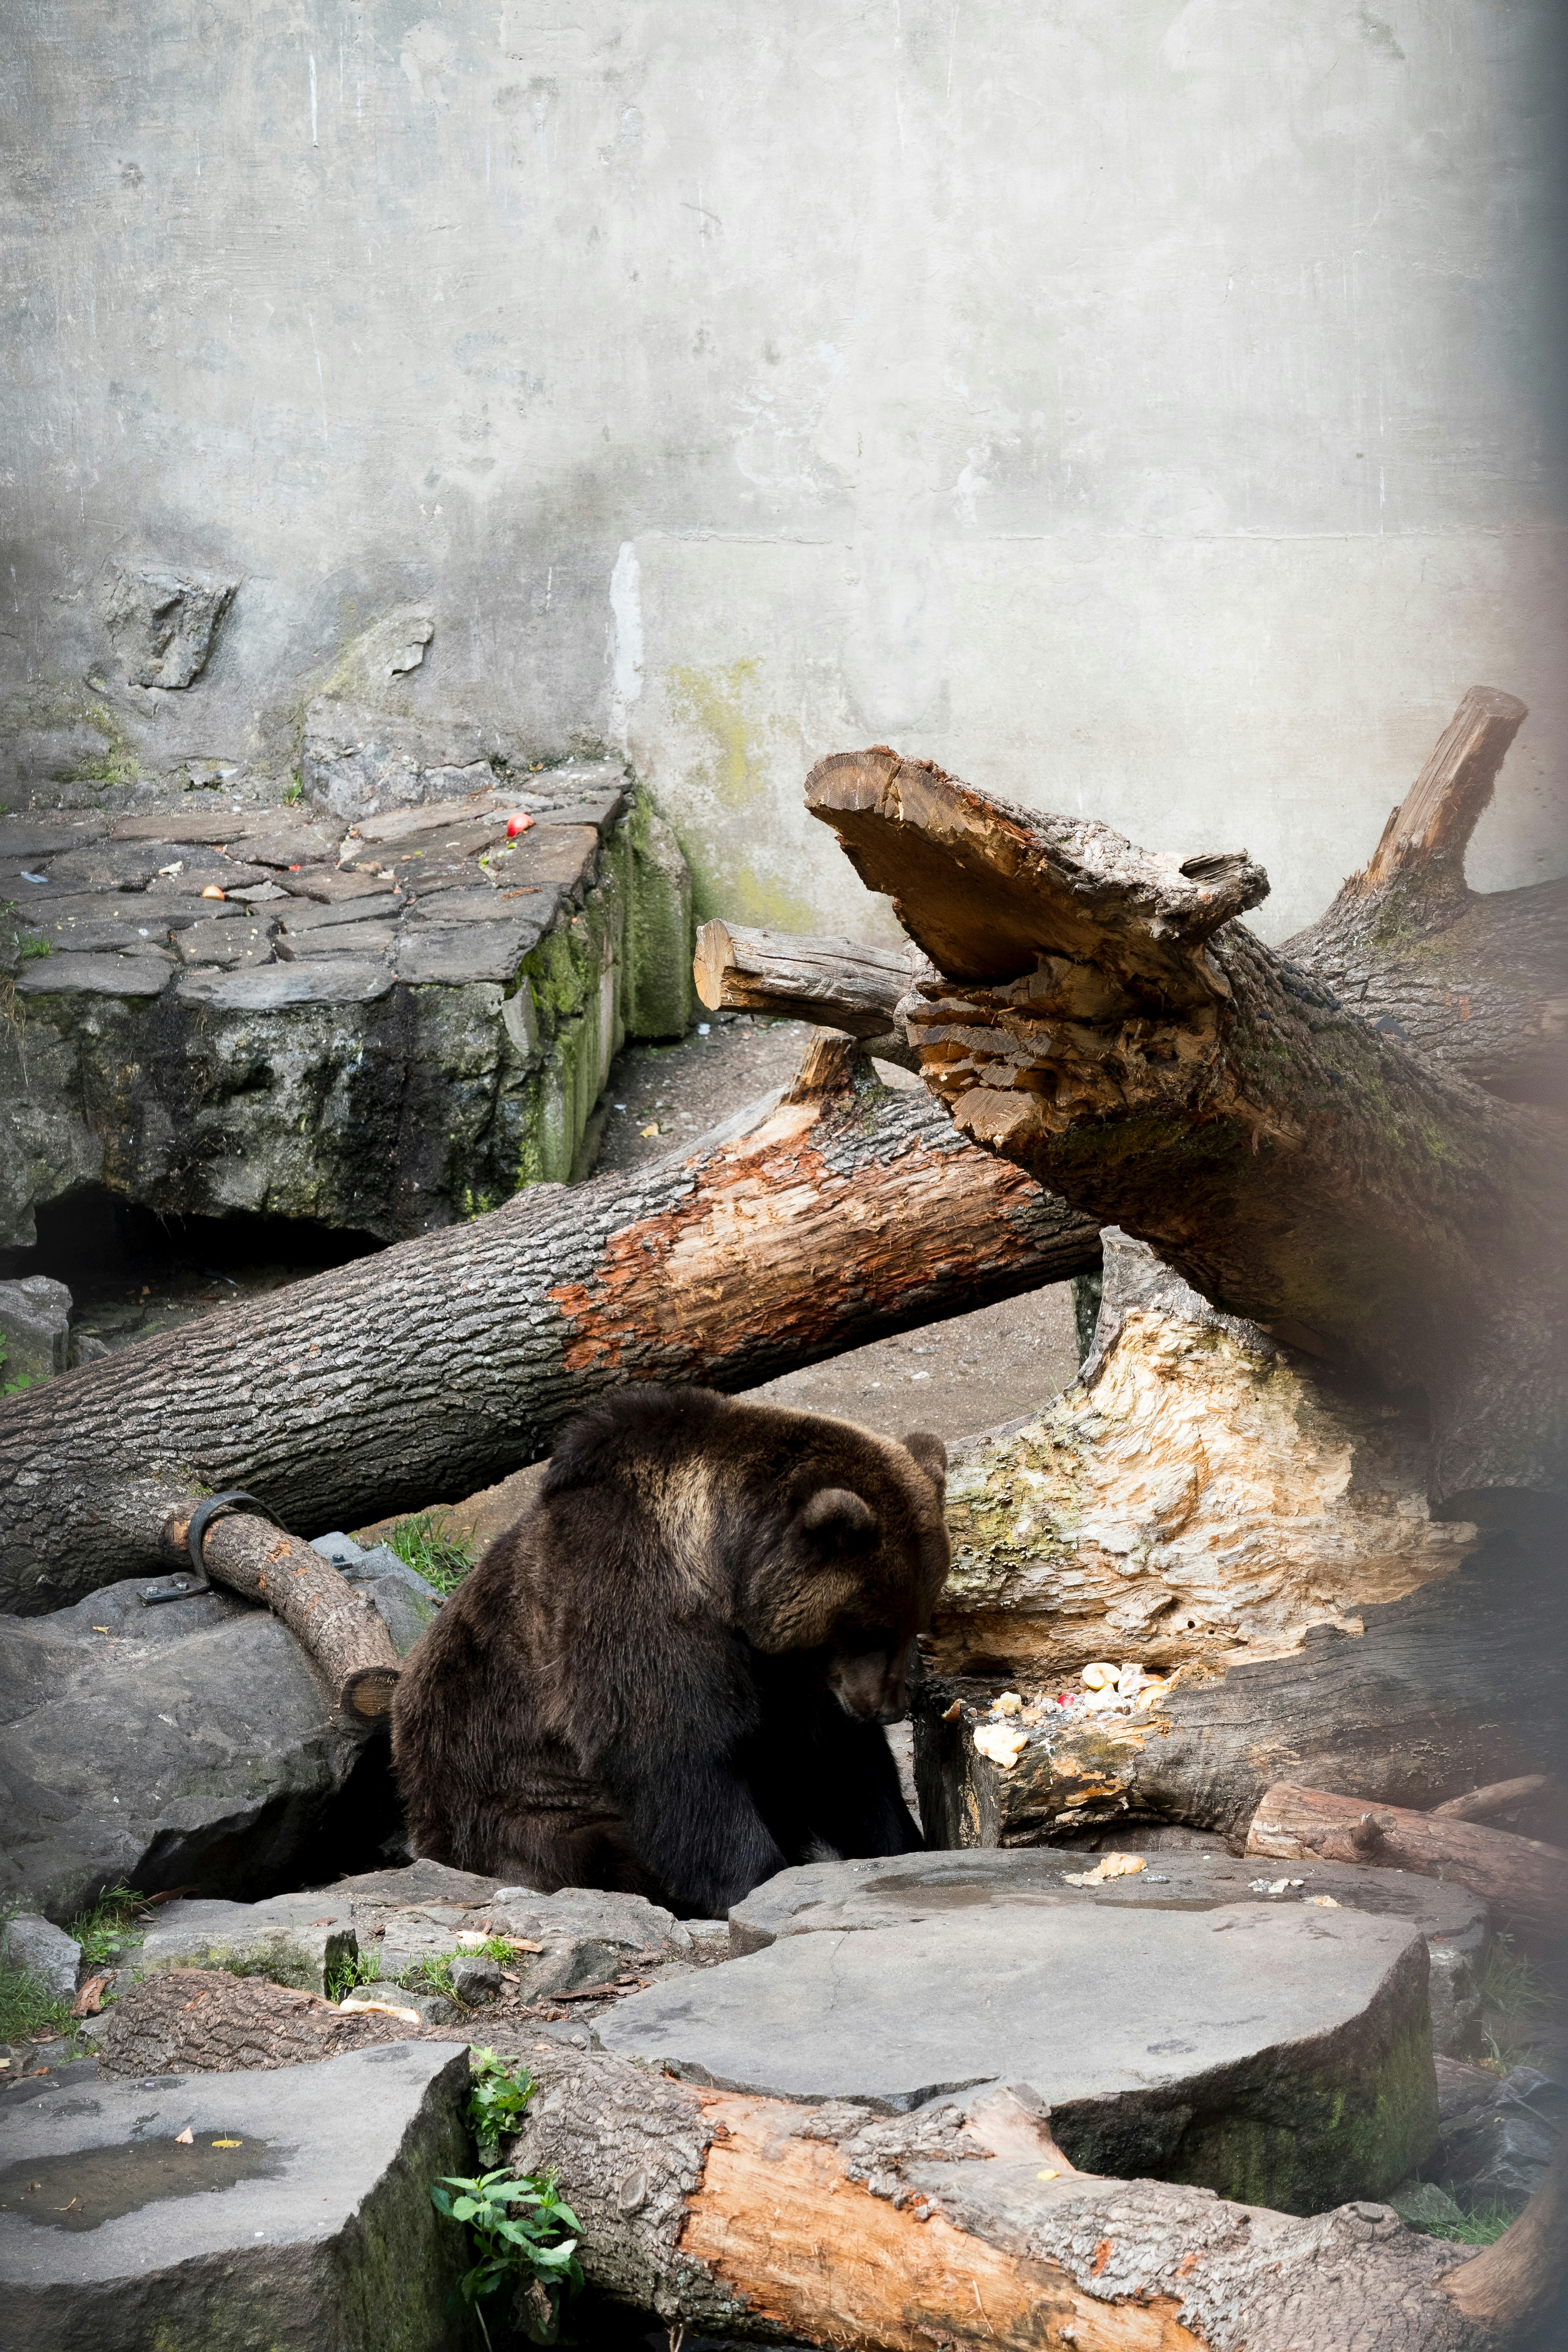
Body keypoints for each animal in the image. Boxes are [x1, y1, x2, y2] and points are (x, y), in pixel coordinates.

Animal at [390, 1382, 949, 1918]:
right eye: (871, 1629)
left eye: (915, 1622)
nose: (889, 1707)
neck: (726, 1570)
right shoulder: (634, 1594)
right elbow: (673, 1750)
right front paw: (755, 1880)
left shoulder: (787, 1674)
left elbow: (840, 1761)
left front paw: (902, 1846)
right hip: (514, 1799)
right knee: (594, 1848)